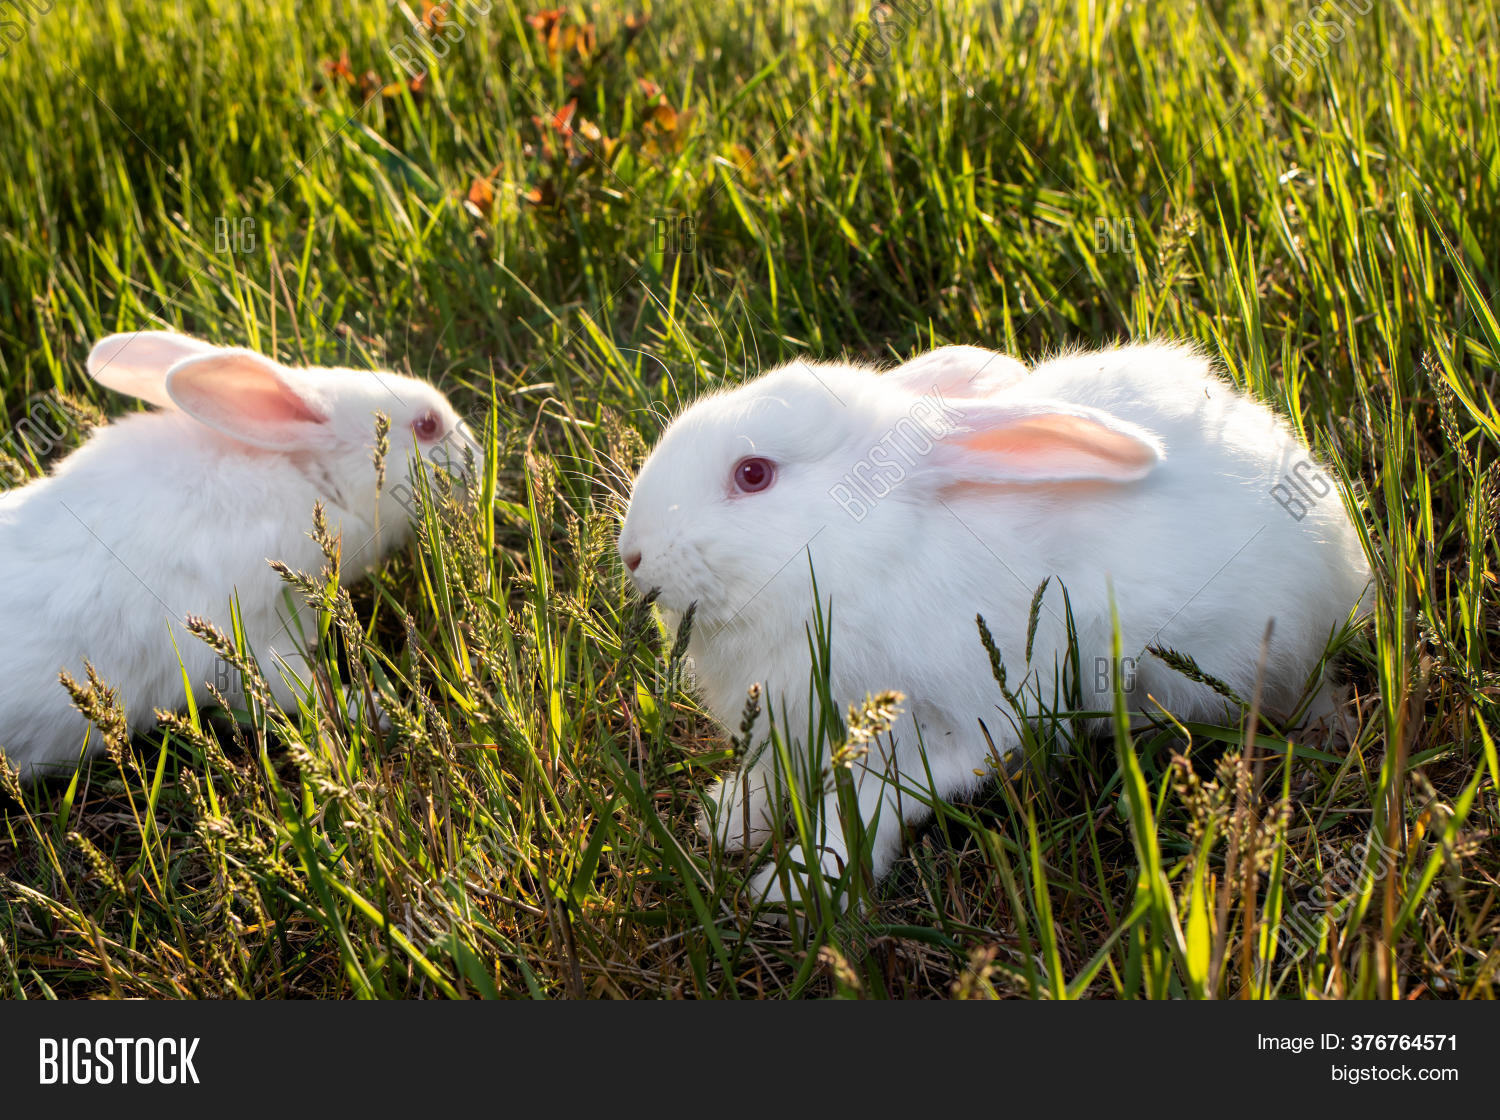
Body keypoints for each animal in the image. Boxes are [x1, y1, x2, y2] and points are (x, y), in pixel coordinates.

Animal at [0, 330, 479, 778]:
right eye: (428, 424)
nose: (475, 463)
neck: (305, 475)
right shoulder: (248, 643)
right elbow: (303, 689)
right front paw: (377, 708)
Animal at [617, 342, 1371, 906]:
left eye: (753, 474)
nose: (632, 553)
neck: (872, 550)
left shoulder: (958, 723)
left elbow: (872, 803)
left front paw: (795, 886)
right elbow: (771, 772)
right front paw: (726, 819)